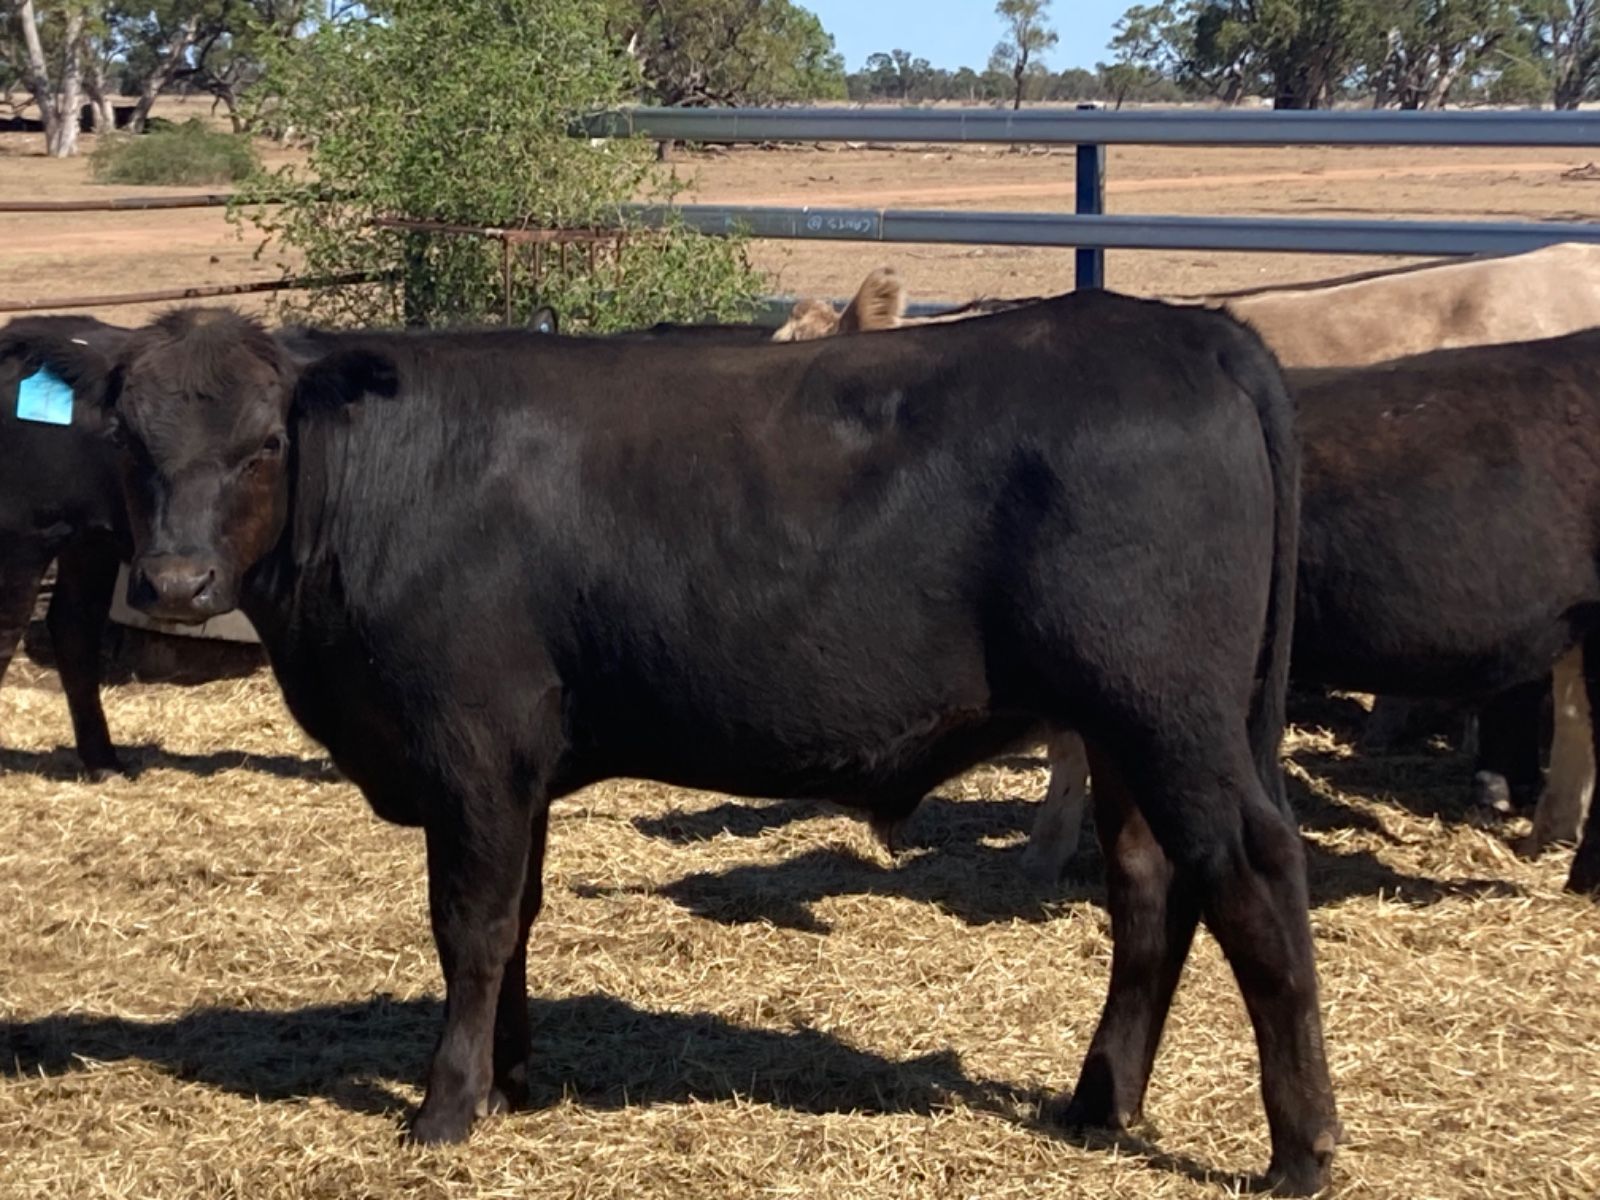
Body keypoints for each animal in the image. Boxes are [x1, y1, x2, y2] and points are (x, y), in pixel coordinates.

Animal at [37, 294, 1339, 1190]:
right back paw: (1099, 1102)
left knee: (1253, 876)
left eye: (262, 445)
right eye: (130, 443)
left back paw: (1301, 1148)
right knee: (1149, 892)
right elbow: (518, 918)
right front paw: (513, 1081)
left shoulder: (472, 746)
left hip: (1169, 713)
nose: (173, 583)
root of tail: (1185, 329)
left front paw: (446, 1105)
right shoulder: (522, 767)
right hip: (1124, 731)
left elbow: (469, 927)